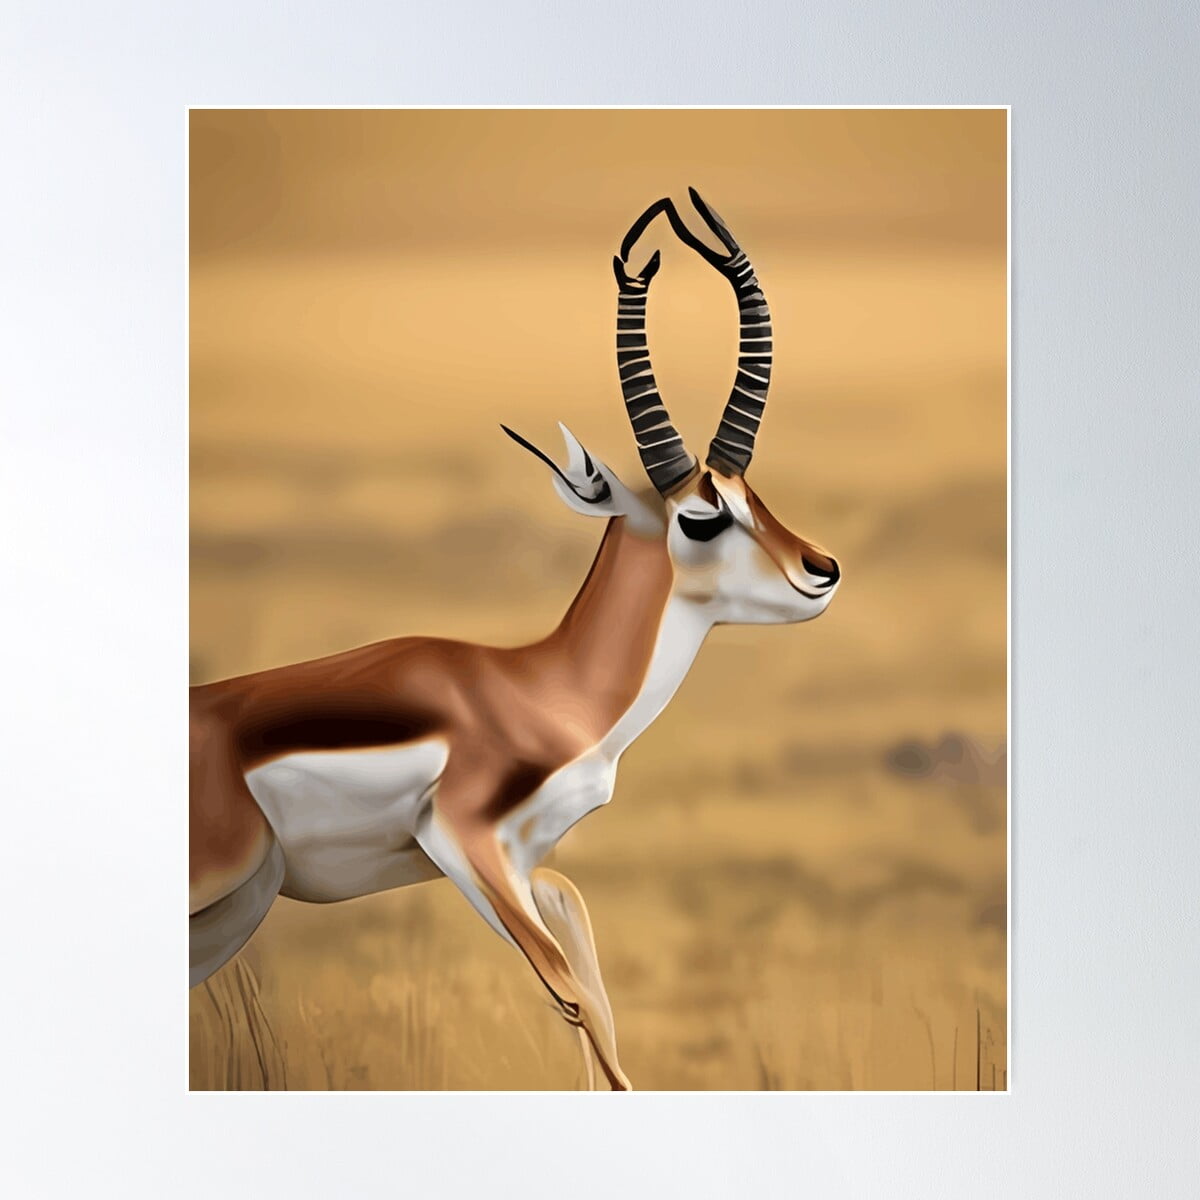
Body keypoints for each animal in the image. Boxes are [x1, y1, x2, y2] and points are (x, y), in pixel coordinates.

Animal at [189, 190, 841, 1090]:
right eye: (702, 516)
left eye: (755, 492)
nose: (823, 569)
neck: (545, 690)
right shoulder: (462, 839)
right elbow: (570, 994)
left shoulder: (529, 861)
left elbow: (592, 974)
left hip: (234, 909)